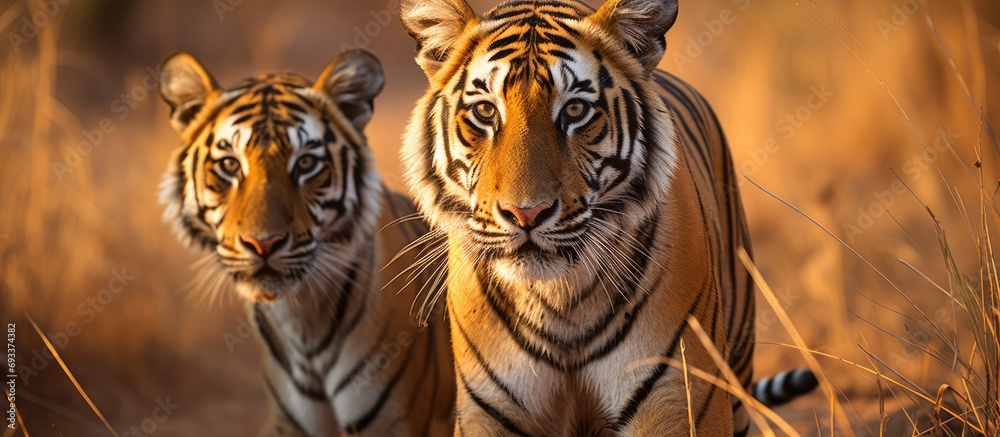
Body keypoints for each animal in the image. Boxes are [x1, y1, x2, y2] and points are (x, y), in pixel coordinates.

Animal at [398, 0, 817, 435]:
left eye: (575, 110)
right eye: (484, 110)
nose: (526, 213)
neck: (559, 302)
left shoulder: (676, 399)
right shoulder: (491, 409)